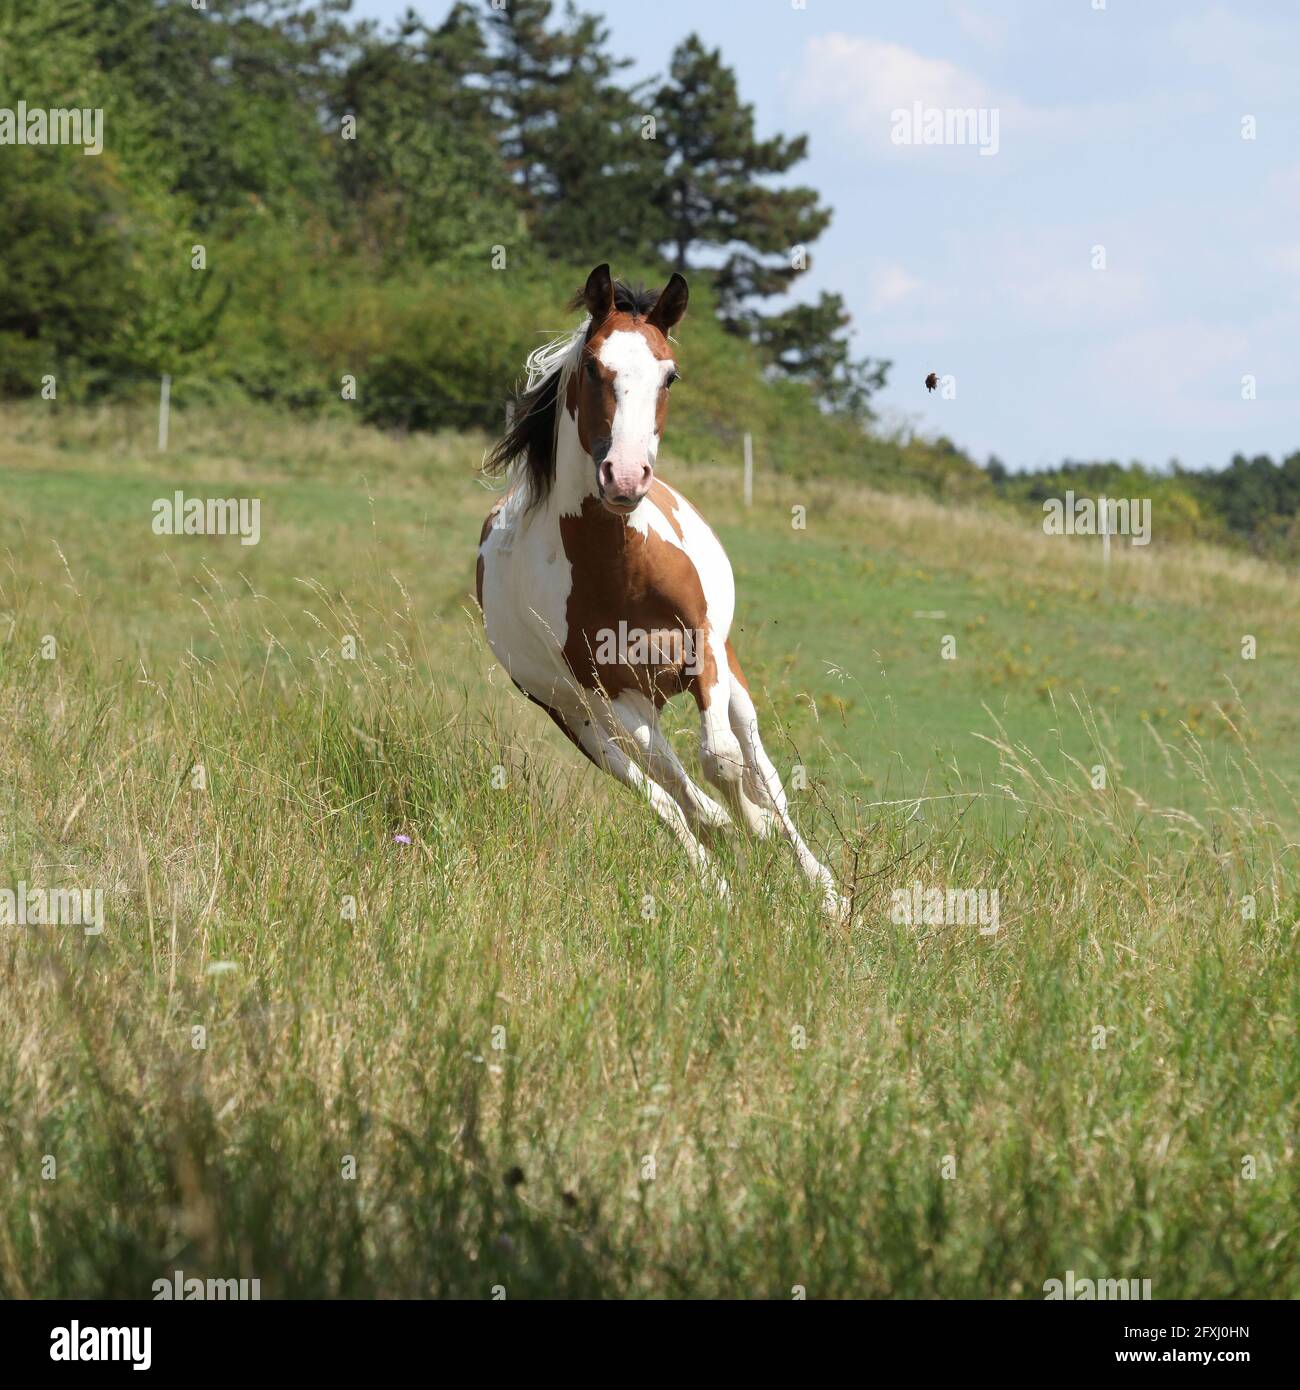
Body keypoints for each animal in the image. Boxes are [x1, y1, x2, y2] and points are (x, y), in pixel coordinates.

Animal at [476, 263, 849, 922]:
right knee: (663, 793)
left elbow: (723, 761)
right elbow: (679, 793)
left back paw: (820, 885)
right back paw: (720, 875)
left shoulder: (704, 652)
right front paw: (732, 841)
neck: (621, 572)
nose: (624, 478)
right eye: (593, 366)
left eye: (669, 374)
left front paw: (768, 839)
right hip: (582, 721)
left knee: (758, 771)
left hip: (728, 679)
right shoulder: (609, 694)